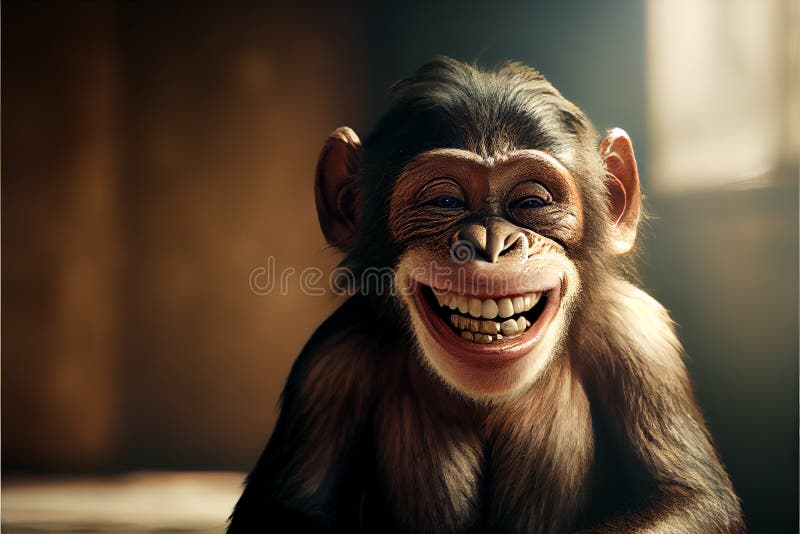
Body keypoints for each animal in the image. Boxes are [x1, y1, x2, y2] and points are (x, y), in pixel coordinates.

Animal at [228, 57, 744, 533]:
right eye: (445, 201)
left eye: (531, 202)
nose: (490, 243)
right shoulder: (330, 364)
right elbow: (287, 508)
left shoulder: (639, 338)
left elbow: (690, 496)